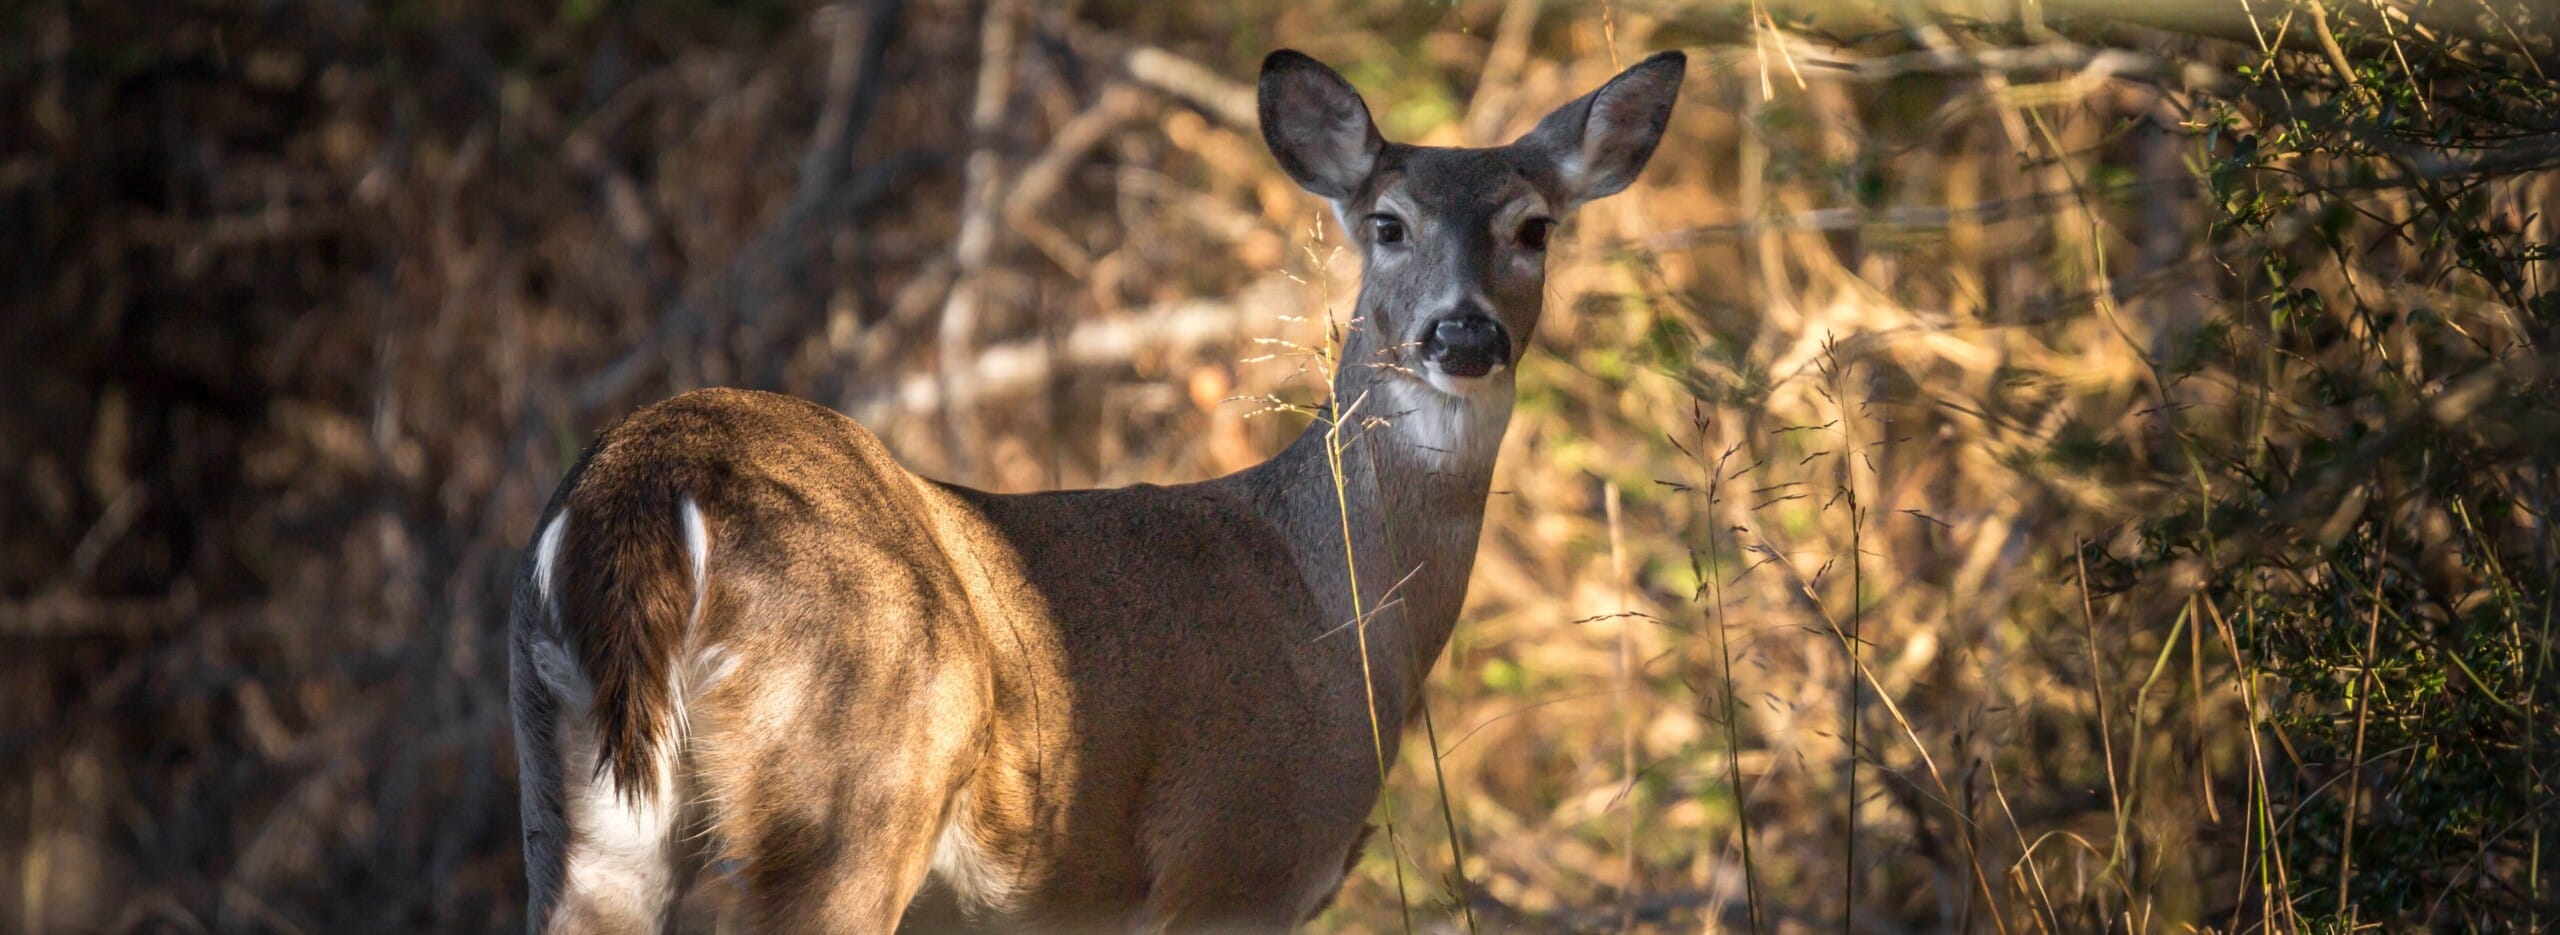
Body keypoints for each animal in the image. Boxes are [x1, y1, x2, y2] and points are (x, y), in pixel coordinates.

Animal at [510, 47, 1684, 933]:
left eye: (1534, 227)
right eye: (1387, 223)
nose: (1463, 333)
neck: (1337, 599)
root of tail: (648, 481)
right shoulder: (1238, 853)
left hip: (574, 804)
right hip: (849, 799)